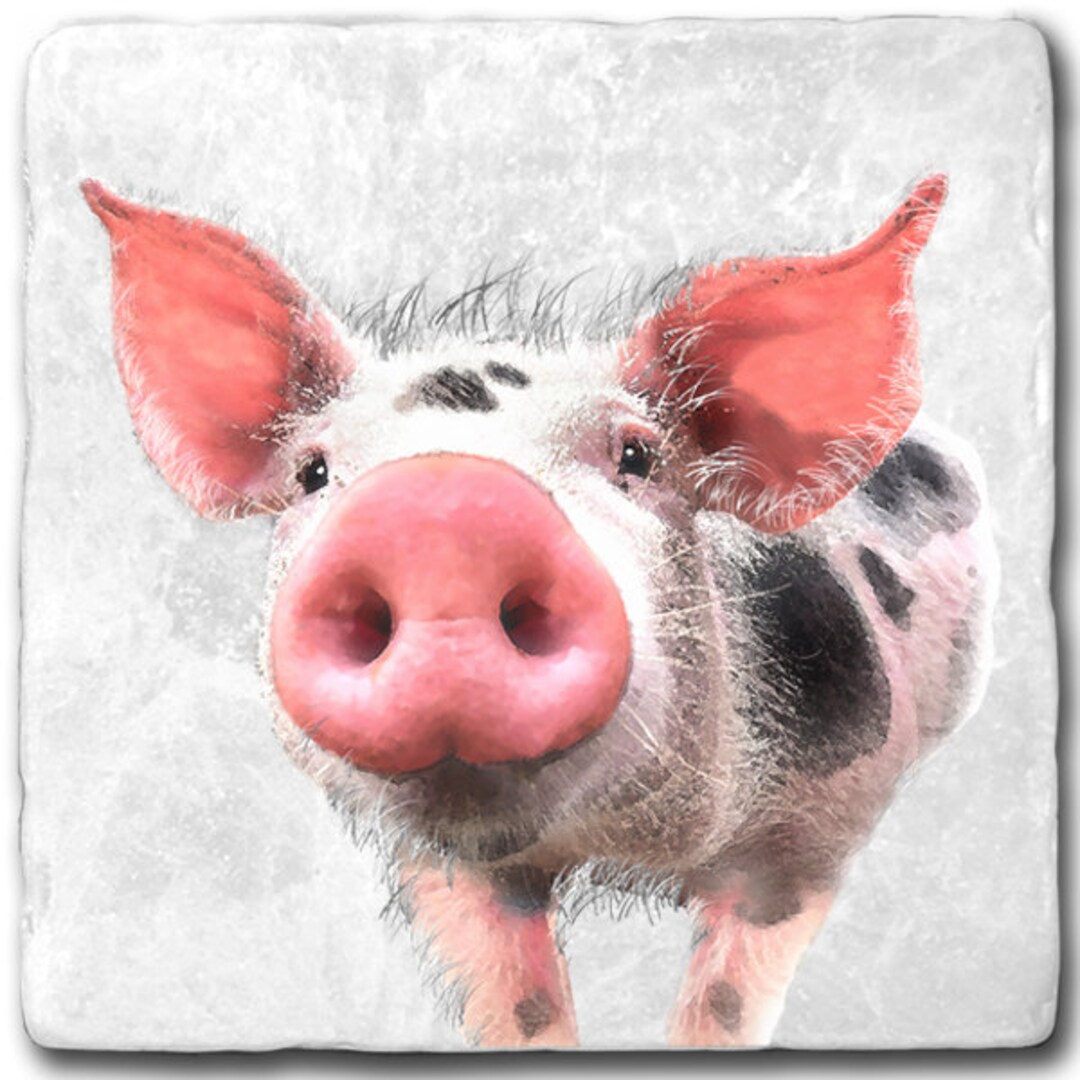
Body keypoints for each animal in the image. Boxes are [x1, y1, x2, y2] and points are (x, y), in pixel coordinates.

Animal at [82, 174, 996, 1049]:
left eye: (638, 456)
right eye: (313, 472)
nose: (441, 512)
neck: (626, 847)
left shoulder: (807, 842)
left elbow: (726, 1005)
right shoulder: (446, 869)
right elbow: (520, 1005)